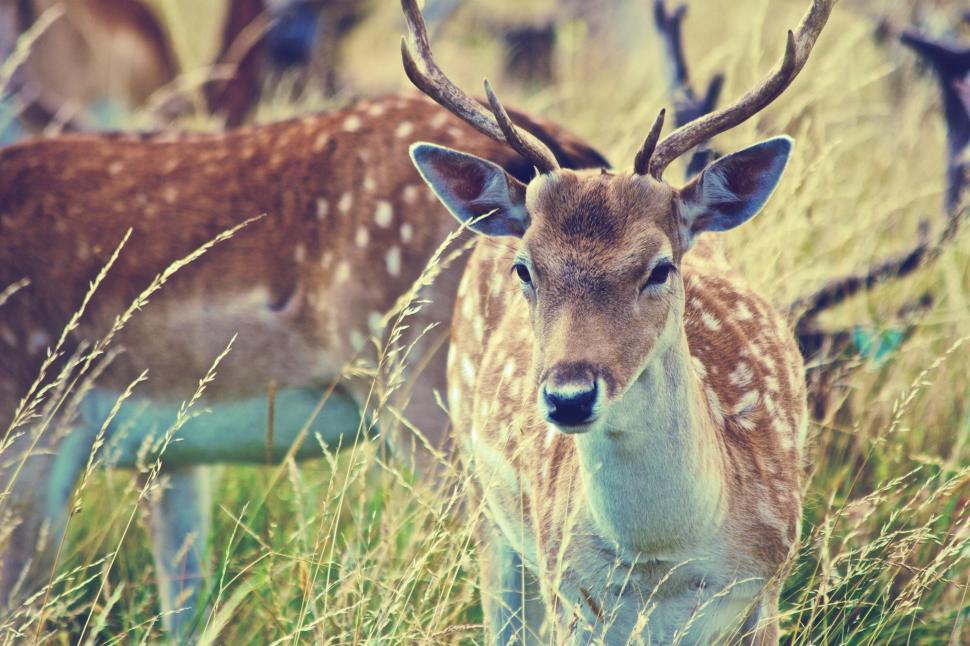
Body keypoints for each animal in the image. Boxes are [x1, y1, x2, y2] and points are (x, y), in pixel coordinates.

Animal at [401, 0, 836, 641]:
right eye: (525, 268)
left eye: (660, 267)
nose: (569, 397)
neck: (661, 561)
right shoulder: (570, 595)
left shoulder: (767, 590)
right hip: (485, 505)